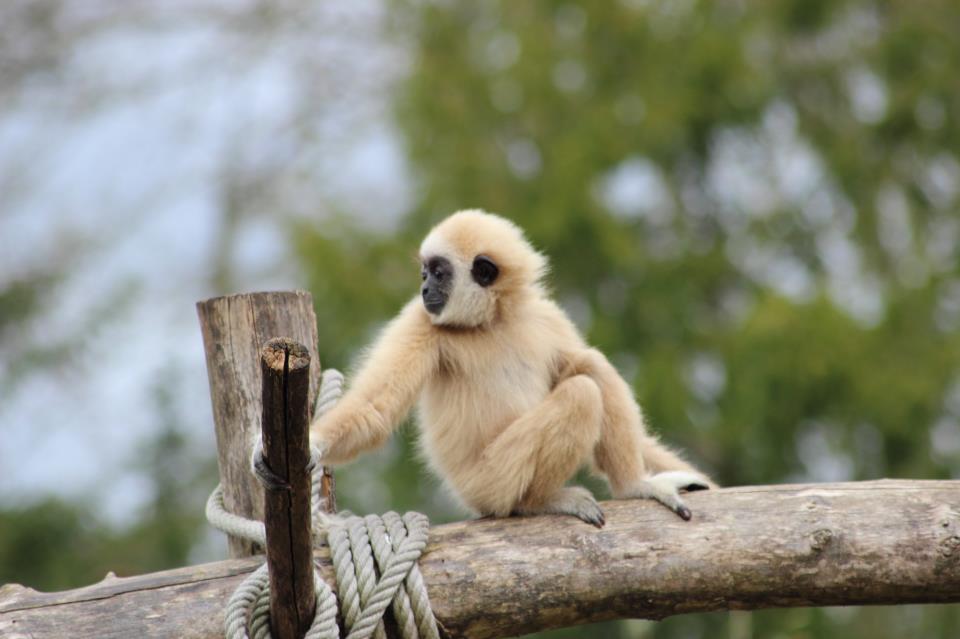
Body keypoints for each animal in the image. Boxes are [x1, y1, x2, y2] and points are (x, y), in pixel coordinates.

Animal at [310, 209, 712, 526]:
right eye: (425, 274)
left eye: (437, 272)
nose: (424, 288)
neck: (491, 321)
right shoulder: (420, 321)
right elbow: (375, 408)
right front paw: (313, 444)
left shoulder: (544, 315)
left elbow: (582, 362)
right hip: (490, 482)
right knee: (581, 393)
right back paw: (538, 503)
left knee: (590, 367)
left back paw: (631, 487)